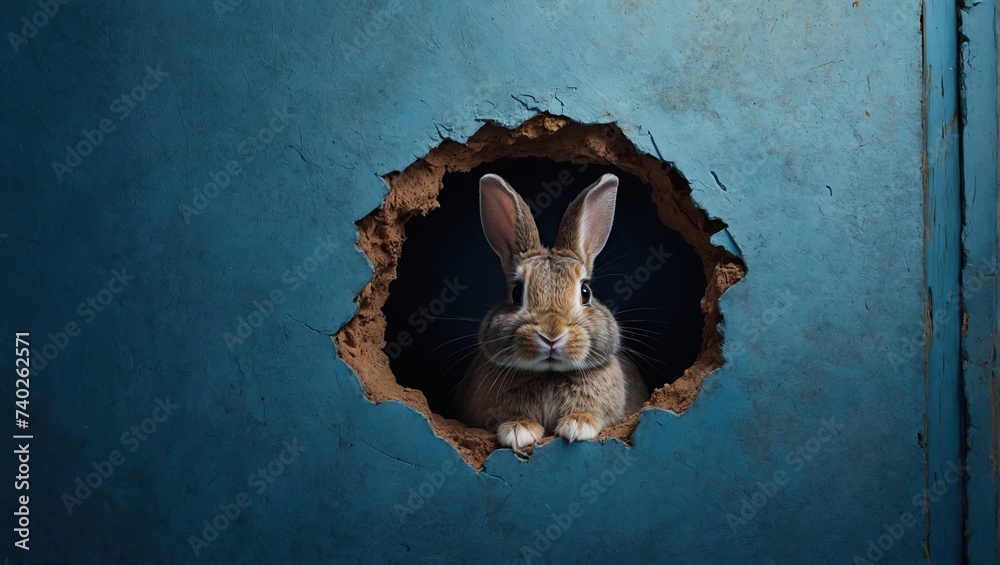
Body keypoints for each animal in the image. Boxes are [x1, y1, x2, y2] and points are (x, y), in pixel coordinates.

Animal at [460, 172, 648, 450]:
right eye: (517, 292)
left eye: (585, 292)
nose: (551, 335)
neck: (550, 375)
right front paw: (519, 430)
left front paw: (578, 425)